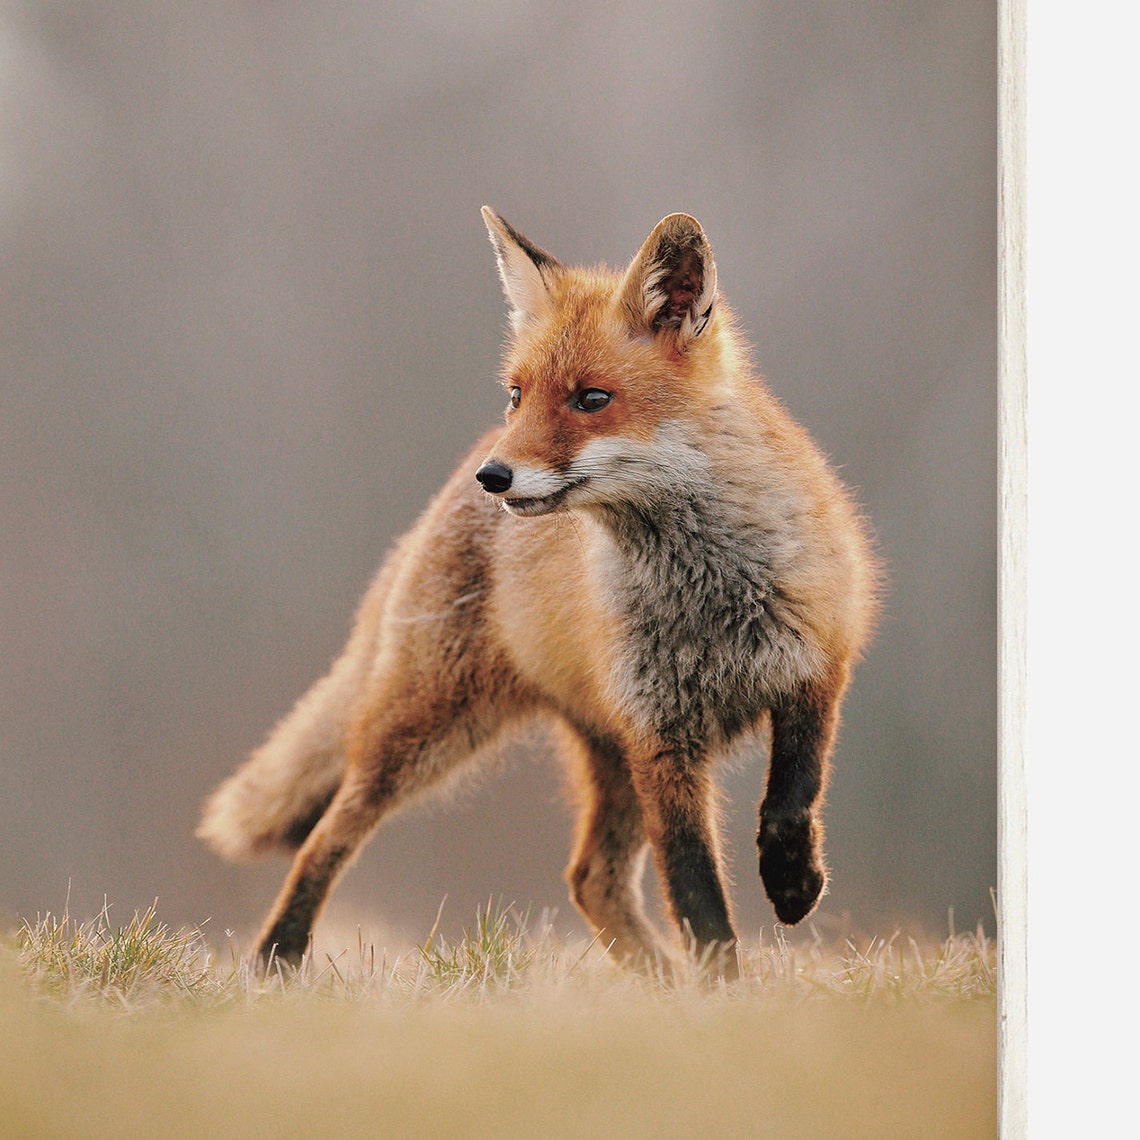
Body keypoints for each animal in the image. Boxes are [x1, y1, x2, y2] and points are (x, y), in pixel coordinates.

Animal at [197, 208, 878, 974]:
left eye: (592, 399)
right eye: (518, 395)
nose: (493, 477)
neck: (707, 593)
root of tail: (445, 487)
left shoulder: (815, 667)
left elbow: (792, 798)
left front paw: (791, 885)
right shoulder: (659, 738)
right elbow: (697, 895)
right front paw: (721, 988)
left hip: (597, 752)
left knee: (591, 879)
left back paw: (659, 979)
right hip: (426, 731)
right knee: (327, 837)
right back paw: (275, 961)